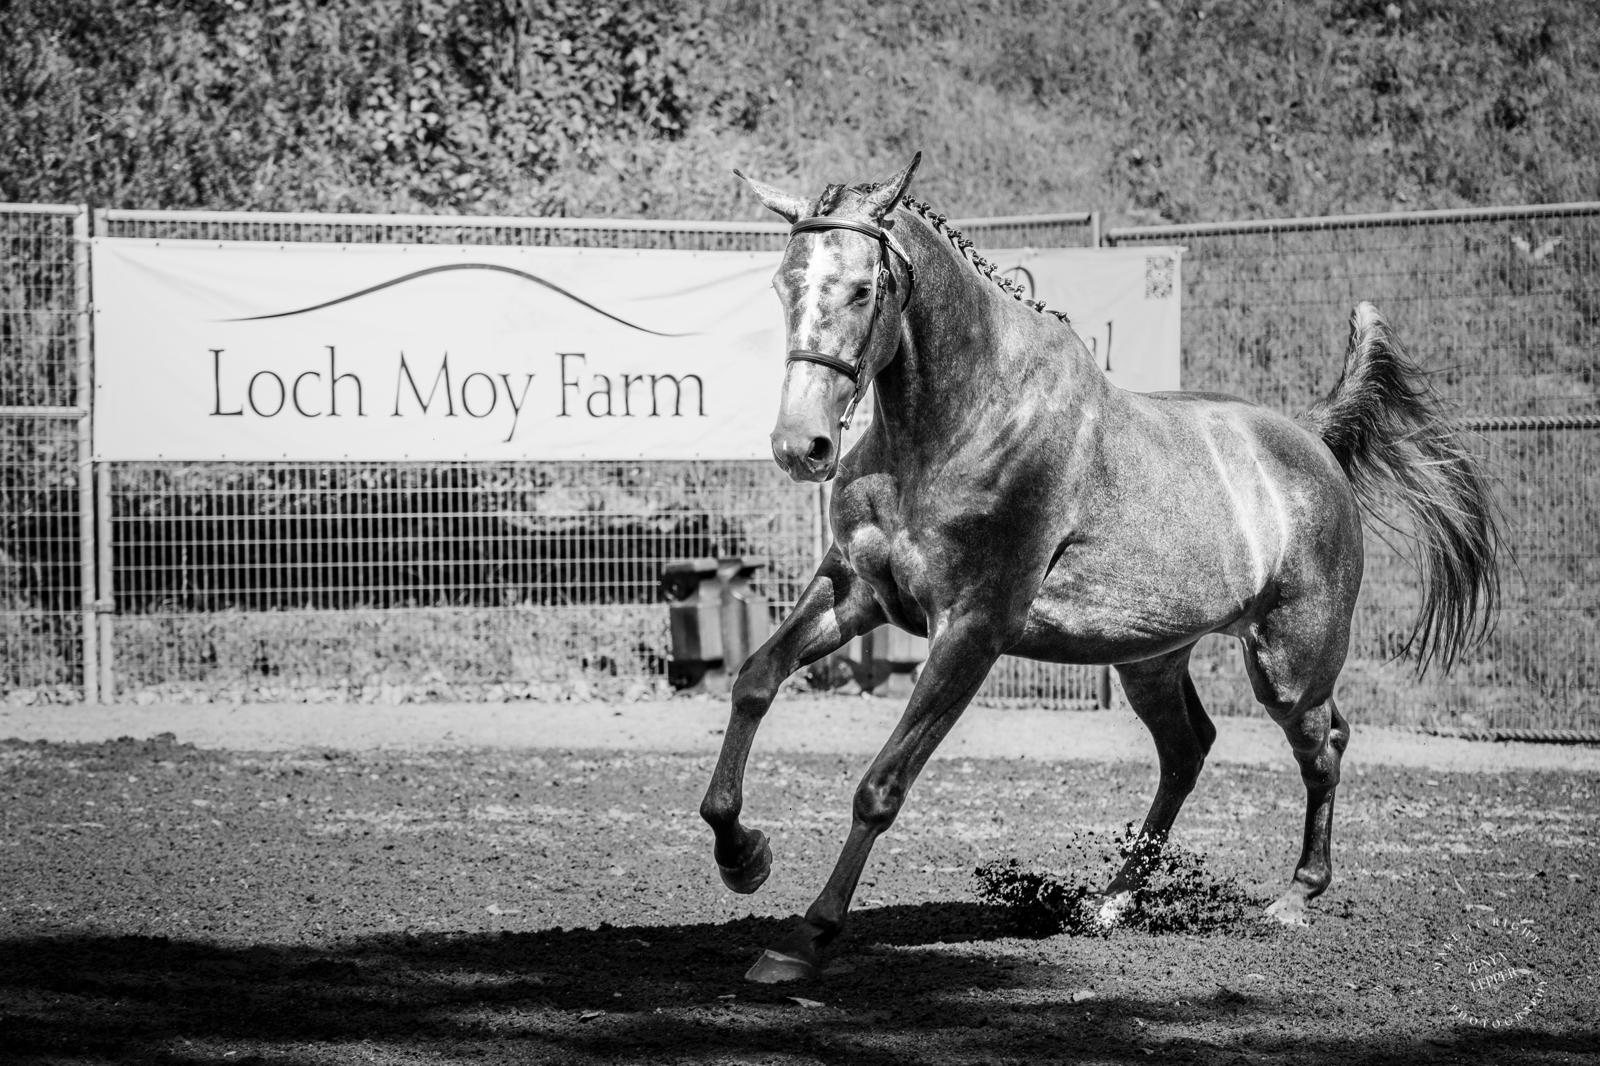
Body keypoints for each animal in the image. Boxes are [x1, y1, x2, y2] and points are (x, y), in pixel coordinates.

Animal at [699, 153, 1501, 983]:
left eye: (863, 289)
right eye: (782, 284)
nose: (801, 445)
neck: (958, 426)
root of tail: (1316, 444)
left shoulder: (973, 631)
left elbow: (881, 786)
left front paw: (806, 938)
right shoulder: (858, 592)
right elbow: (754, 680)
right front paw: (743, 856)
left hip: (1289, 661)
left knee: (1324, 743)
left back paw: (1293, 897)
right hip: (1150, 659)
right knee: (1187, 751)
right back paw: (1111, 904)